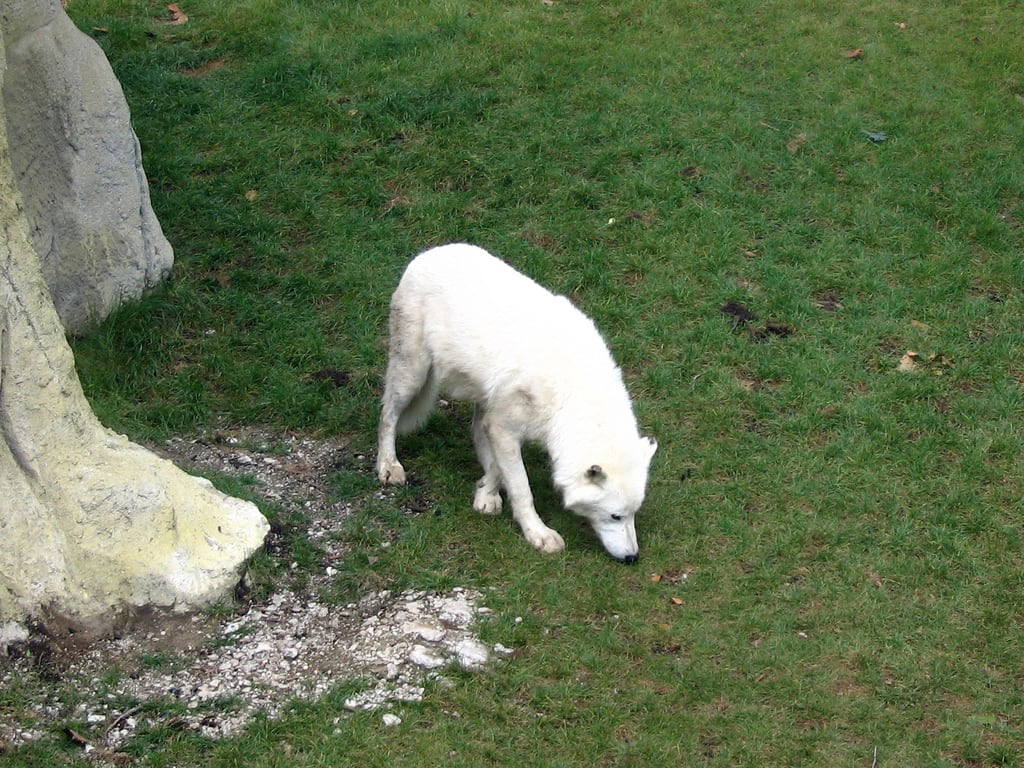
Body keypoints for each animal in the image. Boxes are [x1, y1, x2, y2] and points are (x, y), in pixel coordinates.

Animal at [376, 244, 656, 562]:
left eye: (632, 515)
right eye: (614, 516)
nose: (633, 557)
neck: (571, 396)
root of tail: (428, 253)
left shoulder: (499, 424)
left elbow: (499, 468)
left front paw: (485, 493)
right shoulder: (504, 427)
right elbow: (522, 487)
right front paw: (538, 533)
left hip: (480, 395)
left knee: (474, 429)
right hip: (413, 375)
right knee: (387, 415)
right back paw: (388, 466)